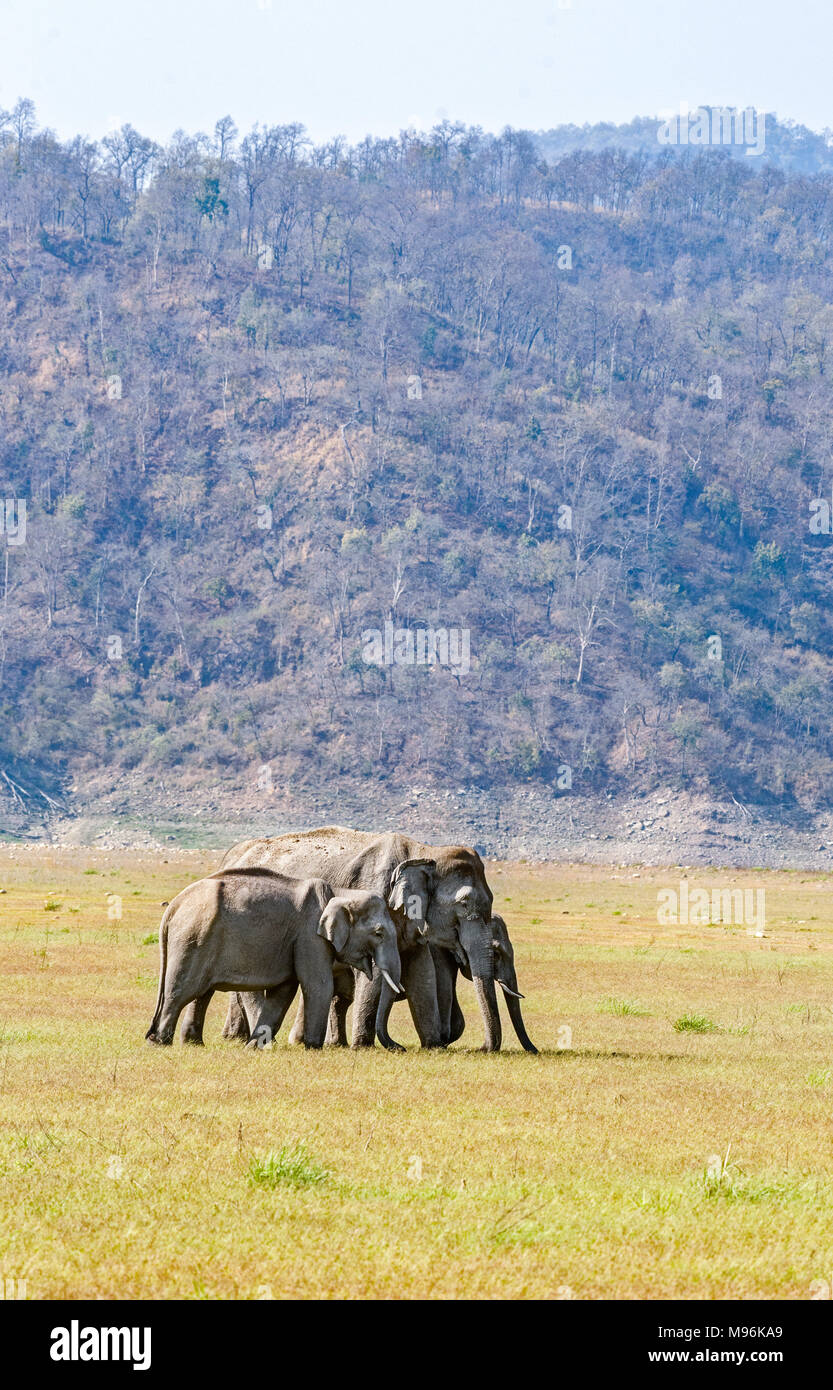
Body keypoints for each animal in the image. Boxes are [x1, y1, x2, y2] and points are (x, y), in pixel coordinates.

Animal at [145, 866, 403, 1049]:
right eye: (379, 933)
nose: (400, 1048)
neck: (340, 892)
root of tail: (174, 906)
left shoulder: (294, 942)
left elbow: (283, 992)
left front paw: (253, 1047)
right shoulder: (309, 936)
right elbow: (318, 985)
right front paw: (313, 1048)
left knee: (202, 993)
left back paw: (190, 1044)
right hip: (193, 938)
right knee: (182, 991)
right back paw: (158, 1042)